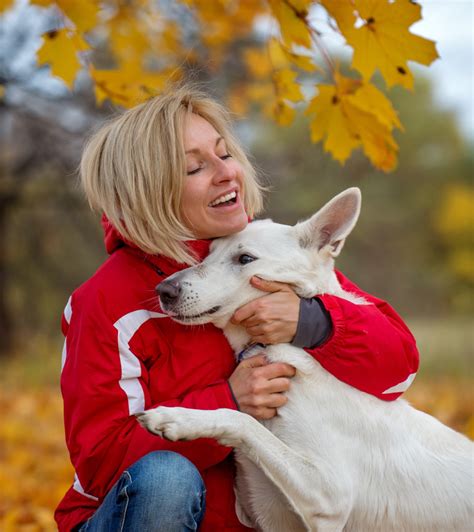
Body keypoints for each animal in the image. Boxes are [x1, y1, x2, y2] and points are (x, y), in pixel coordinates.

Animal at [138, 189, 474, 528]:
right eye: (208, 253)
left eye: (245, 259)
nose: (163, 290)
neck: (273, 347)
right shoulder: (264, 511)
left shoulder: (329, 493)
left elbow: (243, 420)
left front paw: (178, 419)